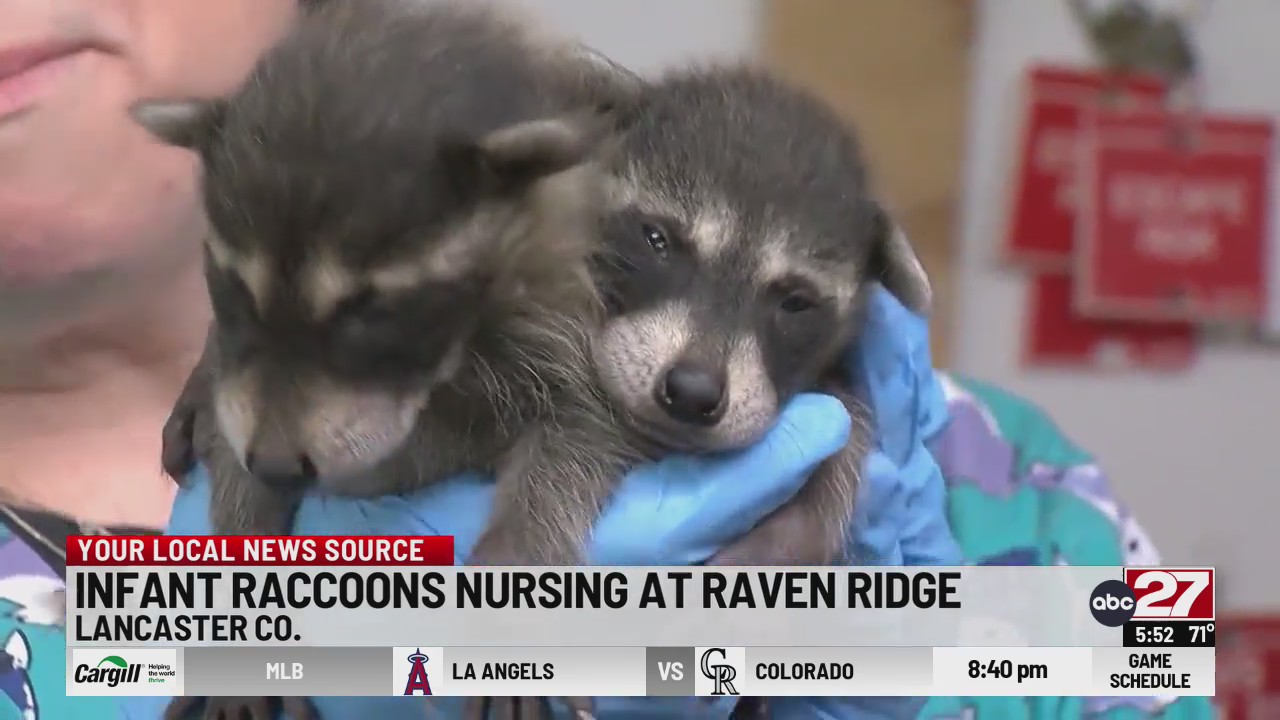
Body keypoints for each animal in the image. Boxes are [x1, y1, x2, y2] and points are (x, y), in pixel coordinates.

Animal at [138, 1, 638, 718]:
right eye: (234, 289)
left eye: (368, 310)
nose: (277, 463)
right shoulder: (243, 381)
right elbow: (228, 439)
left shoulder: (580, 322)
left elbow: (579, 437)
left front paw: (515, 574)